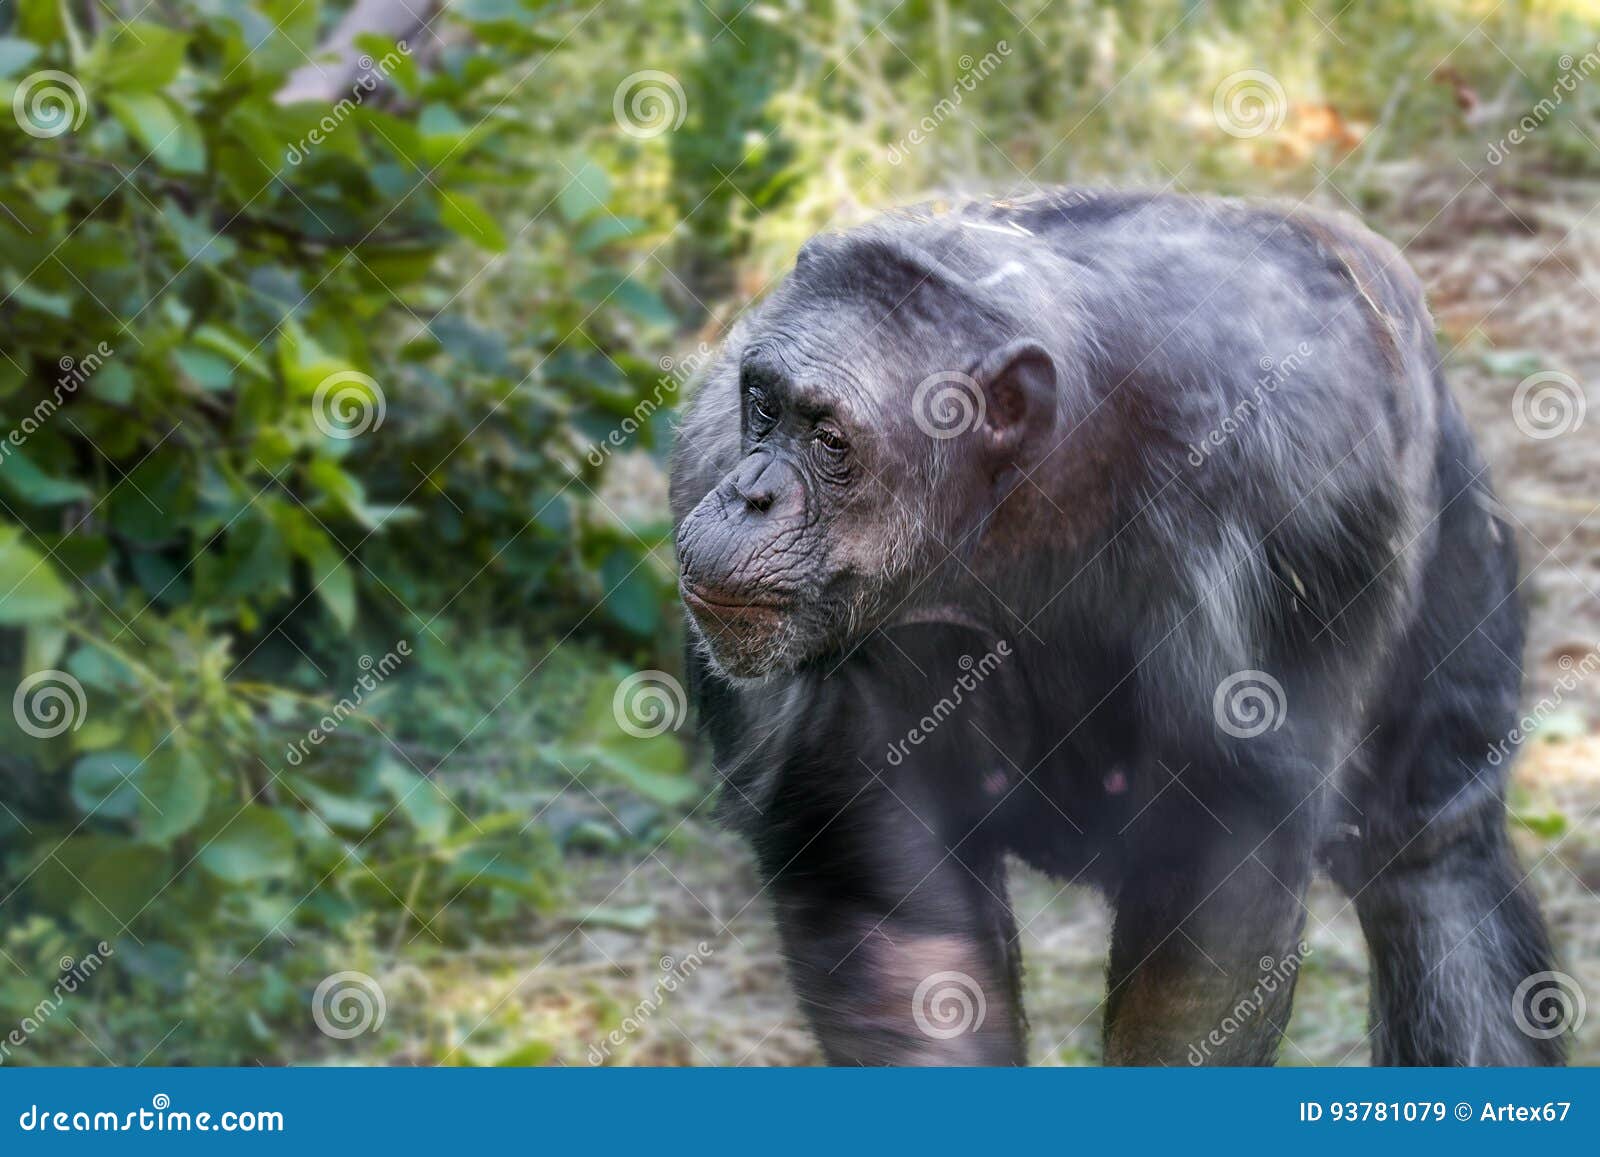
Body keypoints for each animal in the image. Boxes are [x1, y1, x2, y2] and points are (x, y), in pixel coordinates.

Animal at [668, 189, 1562, 1066]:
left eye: (828, 439)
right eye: (764, 406)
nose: (750, 493)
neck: (1040, 470)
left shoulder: (1302, 496)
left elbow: (1219, 893)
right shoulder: (708, 451)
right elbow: (894, 921)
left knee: (1433, 860)